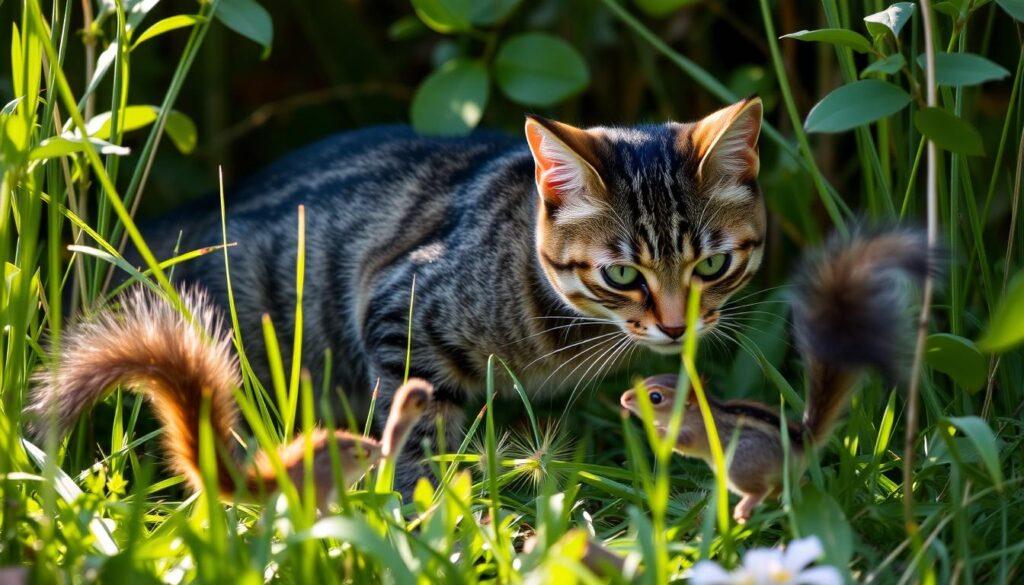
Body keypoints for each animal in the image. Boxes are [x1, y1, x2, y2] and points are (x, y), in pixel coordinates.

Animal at [620, 228, 930, 523]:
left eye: (655, 397)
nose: (624, 399)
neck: (701, 410)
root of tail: (802, 447)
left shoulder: (695, 432)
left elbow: (681, 444)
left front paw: (658, 430)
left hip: (739, 467)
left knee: (761, 489)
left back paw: (744, 509)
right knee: (788, 487)